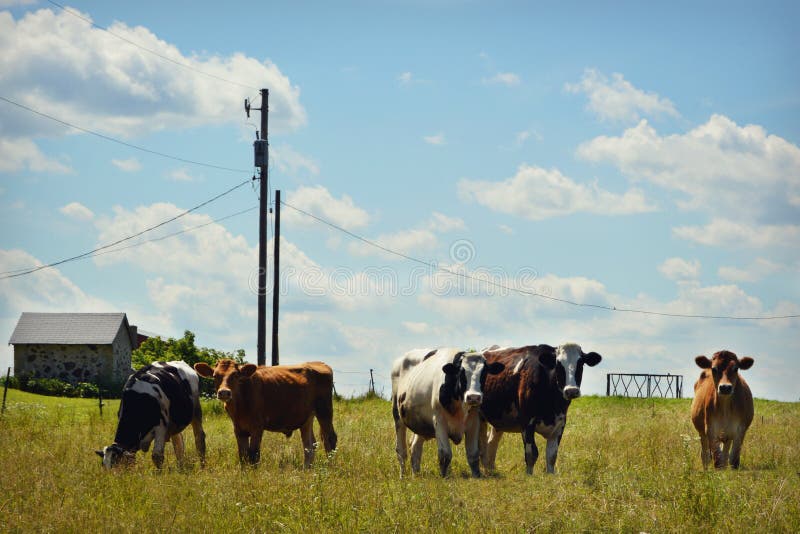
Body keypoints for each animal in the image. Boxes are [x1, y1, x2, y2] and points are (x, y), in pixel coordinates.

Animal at [194, 359, 337, 467]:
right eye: (215, 376)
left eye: (235, 375)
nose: (224, 392)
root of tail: (318, 363)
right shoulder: (239, 428)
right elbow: (243, 456)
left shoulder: (257, 427)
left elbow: (253, 455)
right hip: (306, 417)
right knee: (310, 445)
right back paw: (306, 469)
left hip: (324, 410)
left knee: (330, 439)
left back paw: (330, 468)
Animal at [391, 347, 504, 478]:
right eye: (461, 373)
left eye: (484, 373)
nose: (474, 397)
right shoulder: (439, 420)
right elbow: (445, 454)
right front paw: (444, 477)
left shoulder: (475, 421)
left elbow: (473, 454)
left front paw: (477, 476)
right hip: (398, 416)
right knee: (401, 451)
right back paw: (403, 476)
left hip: (421, 424)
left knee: (415, 447)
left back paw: (416, 475)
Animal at [478, 343, 602, 474]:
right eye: (558, 364)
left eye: (581, 363)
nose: (571, 391)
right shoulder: (526, 422)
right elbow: (531, 454)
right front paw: (529, 476)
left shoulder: (560, 424)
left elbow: (552, 456)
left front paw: (550, 476)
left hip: (499, 419)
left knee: (491, 442)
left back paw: (490, 469)